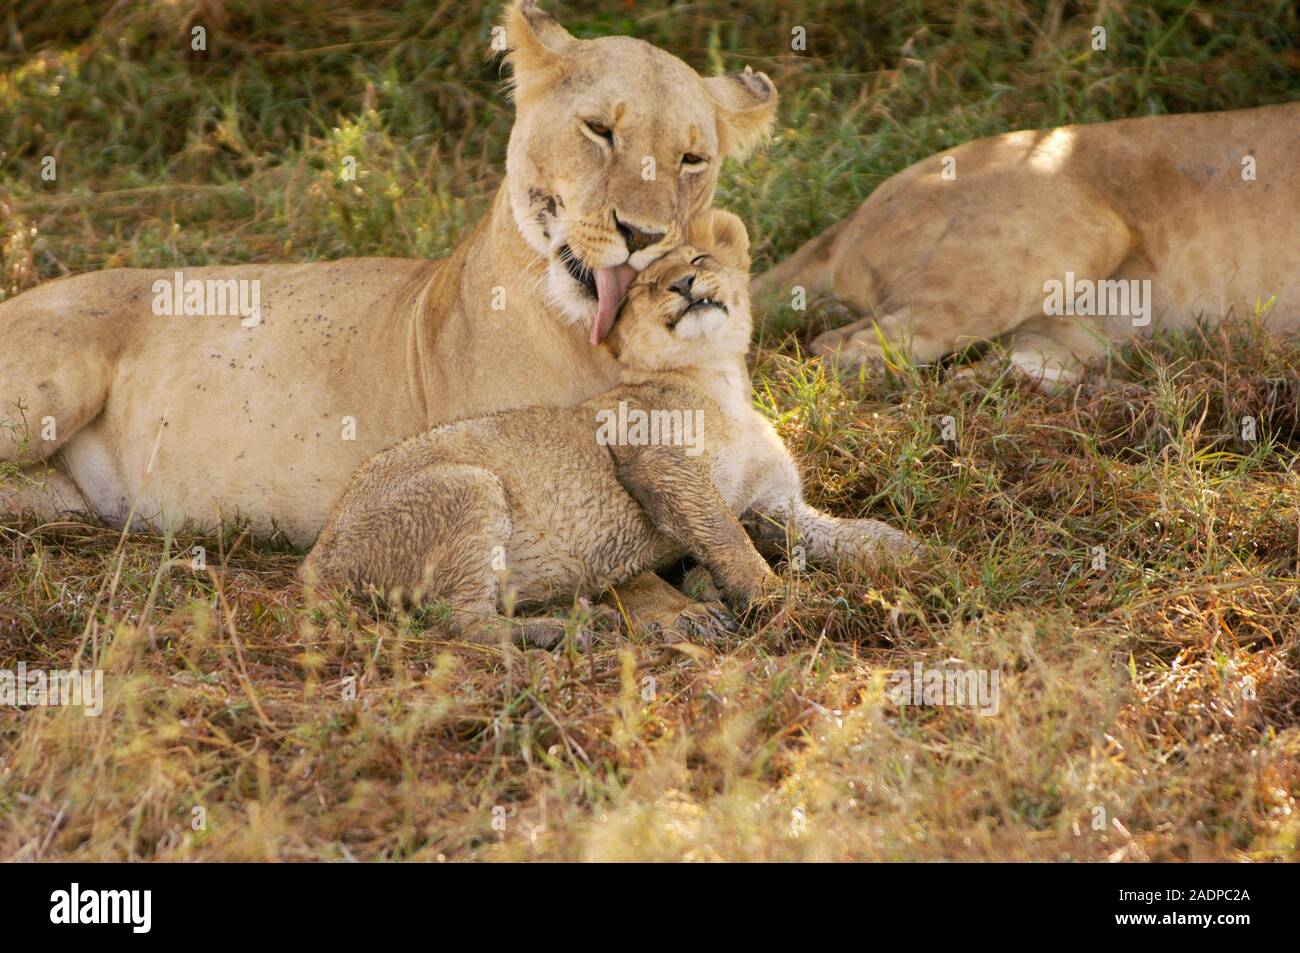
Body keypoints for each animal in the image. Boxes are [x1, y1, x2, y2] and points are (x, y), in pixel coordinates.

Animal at [0, 0, 777, 634]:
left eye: (691, 158)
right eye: (599, 131)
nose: (644, 235)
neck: (593, 340)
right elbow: (617, 550)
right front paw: (675, 609)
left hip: (58, 498)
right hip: (47, 389)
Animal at [301, 210, 914, 645]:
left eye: (699, 258)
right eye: (644, 288)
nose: (685, 283)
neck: (721, 381)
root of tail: (316, 561)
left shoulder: (774, 503)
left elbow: (840, 532)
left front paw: (908, 551)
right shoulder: (650, 455)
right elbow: (725, 533)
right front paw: (778, 599)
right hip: (467, 487)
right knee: (458, 620)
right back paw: (562, 631)